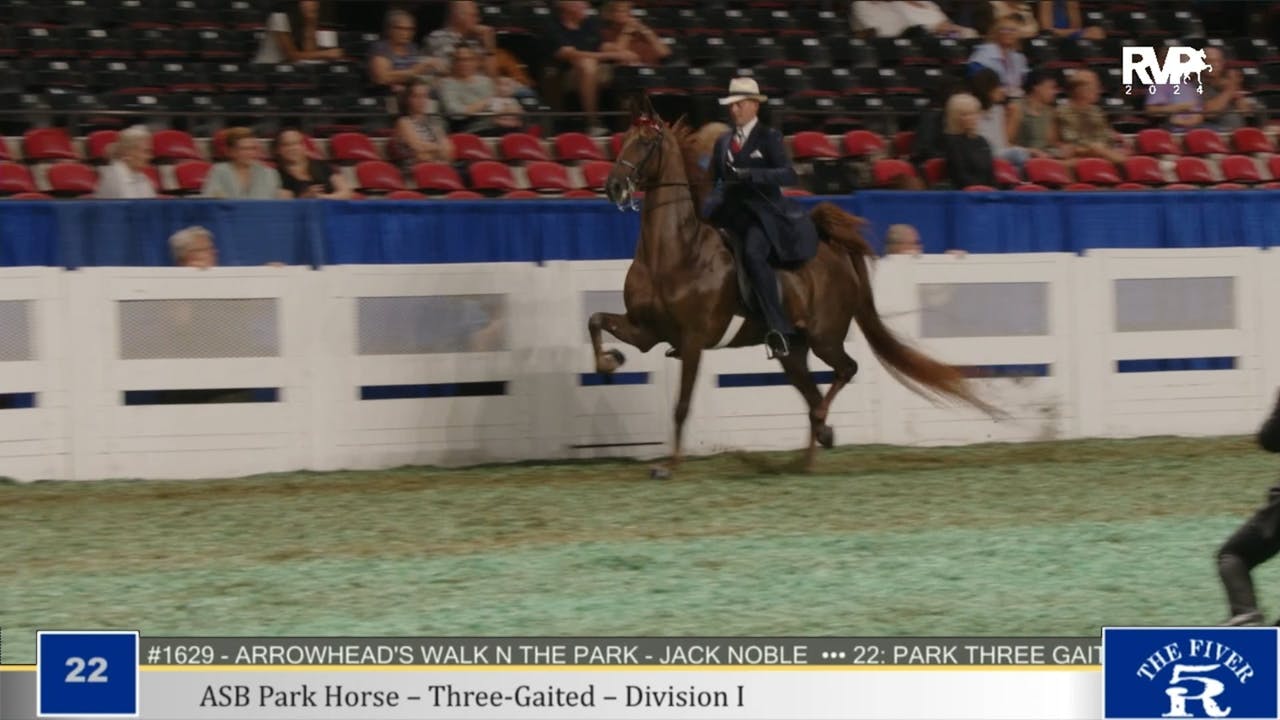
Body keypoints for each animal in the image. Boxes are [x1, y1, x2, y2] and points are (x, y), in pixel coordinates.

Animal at [589, 103, 999, 478]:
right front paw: (611, 362)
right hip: (793, 350)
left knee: (844, 372)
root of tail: (834, 250)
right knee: (812, 389)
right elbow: (596, 321)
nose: (613, 187)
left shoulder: (691, 341)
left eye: (646, 142)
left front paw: (670, 465)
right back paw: (812, 449)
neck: (673, 252)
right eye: (624, 139)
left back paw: (822, 430)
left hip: (825, 338)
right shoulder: (646, 331)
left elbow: (682, 404)